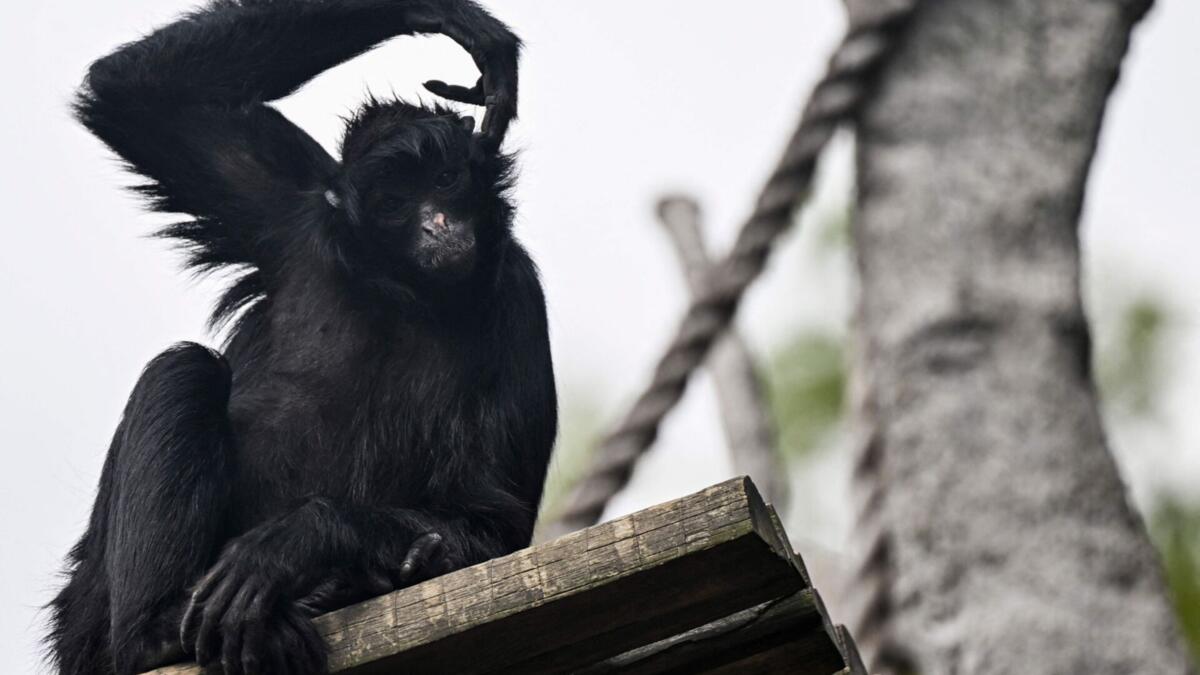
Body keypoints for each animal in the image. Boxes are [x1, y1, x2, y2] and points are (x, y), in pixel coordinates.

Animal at [46, 1, 556, 673]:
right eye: (395, 202)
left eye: (446, 181)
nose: (438, 224)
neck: (402, 291)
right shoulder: (291, 212)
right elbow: (133, 93)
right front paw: (454, 21)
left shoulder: (517, 298)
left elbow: (495, 524)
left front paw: (303, 540)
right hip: (89, 612)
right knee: (184, 370)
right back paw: (154, 630)